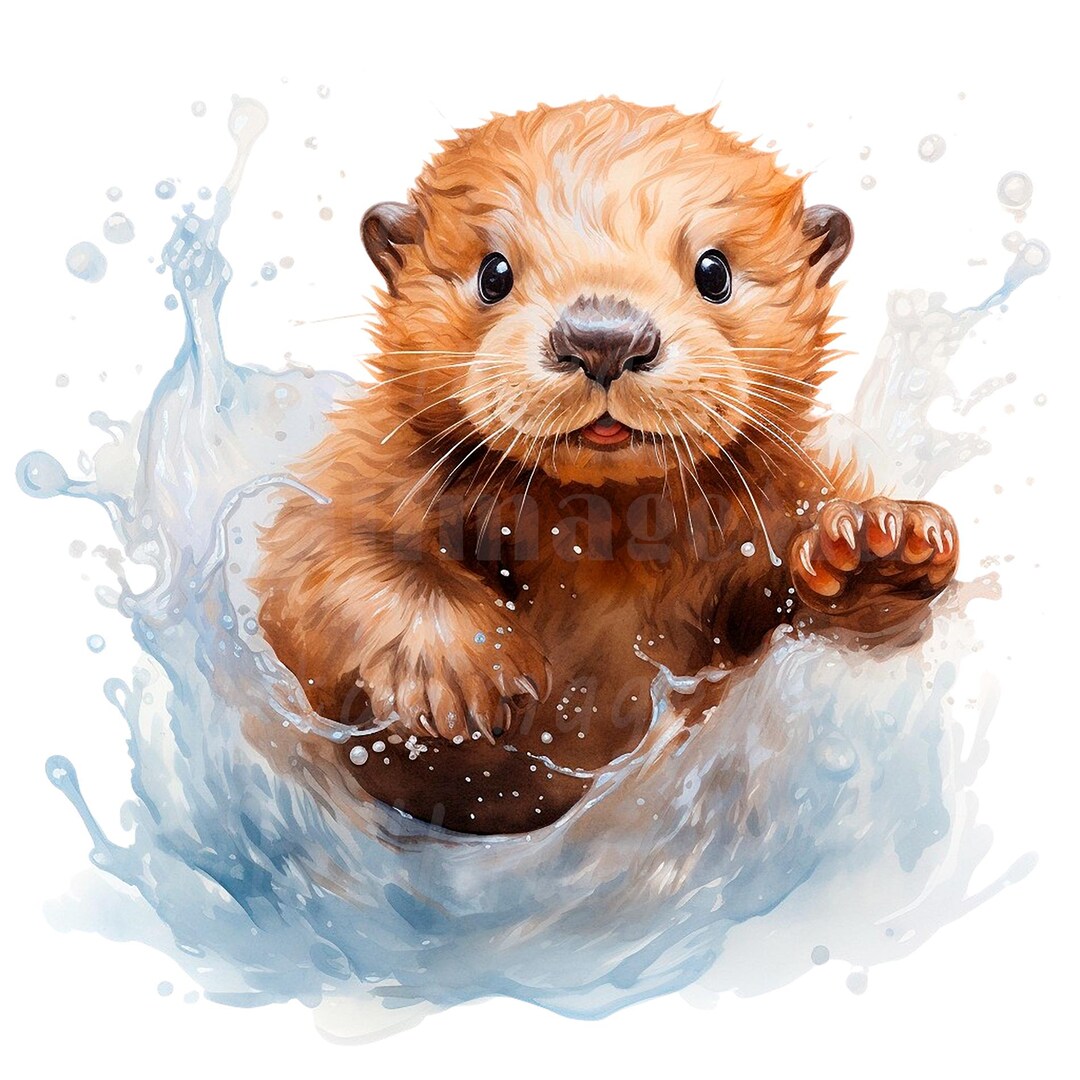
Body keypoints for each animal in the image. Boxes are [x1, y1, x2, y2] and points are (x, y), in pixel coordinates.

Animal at [254, 99, 958, 835]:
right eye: (493, 274)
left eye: (714, 272)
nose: (604, 337)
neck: (603, 538)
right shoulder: (360, 472)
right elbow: (323, 564)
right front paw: (461, 665)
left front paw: (880, 547)